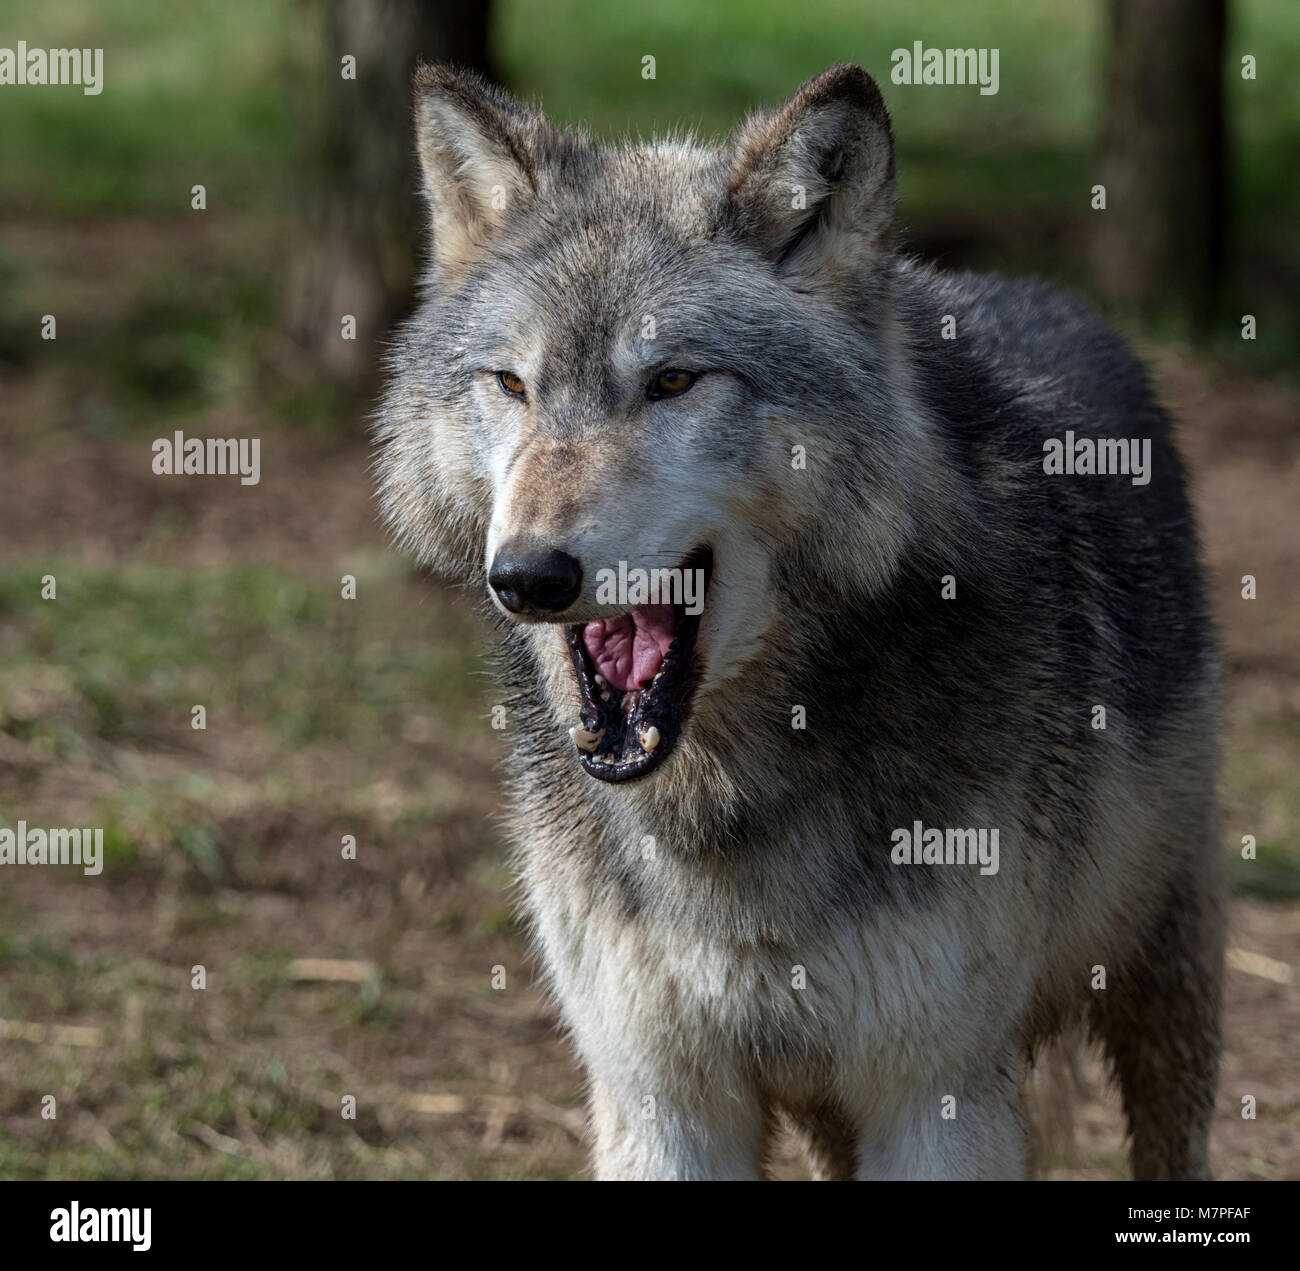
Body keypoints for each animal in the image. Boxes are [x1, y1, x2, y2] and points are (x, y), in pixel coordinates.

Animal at [373, 63, 1225, 1180]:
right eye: (510, 383)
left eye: (673, 380)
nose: (526, 575)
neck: (725, 803)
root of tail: (1029, 290)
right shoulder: (661, 1102)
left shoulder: (936, 1095)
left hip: (1163, 982)